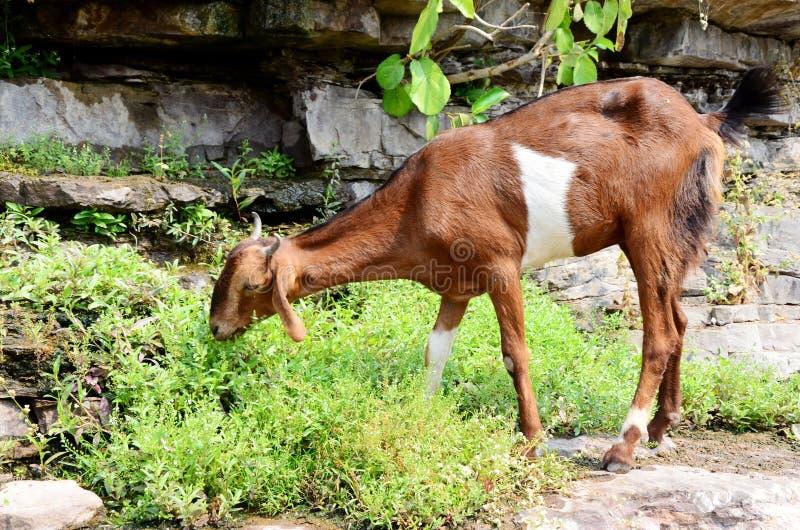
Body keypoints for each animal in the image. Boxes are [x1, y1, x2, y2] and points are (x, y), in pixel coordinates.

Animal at [209, 68, 783, 472]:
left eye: (254, 285)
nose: (215, 328)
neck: (417, 200)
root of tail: (703, 122)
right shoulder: (455, 285)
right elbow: (434, 350)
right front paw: (422, 413)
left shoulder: (500, 267)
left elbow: (515, 354)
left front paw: (530, 441)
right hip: (677, 235)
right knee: (681, 323)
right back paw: (663, 428)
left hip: (649, 228)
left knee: (660, 333)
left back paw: (623, 448)